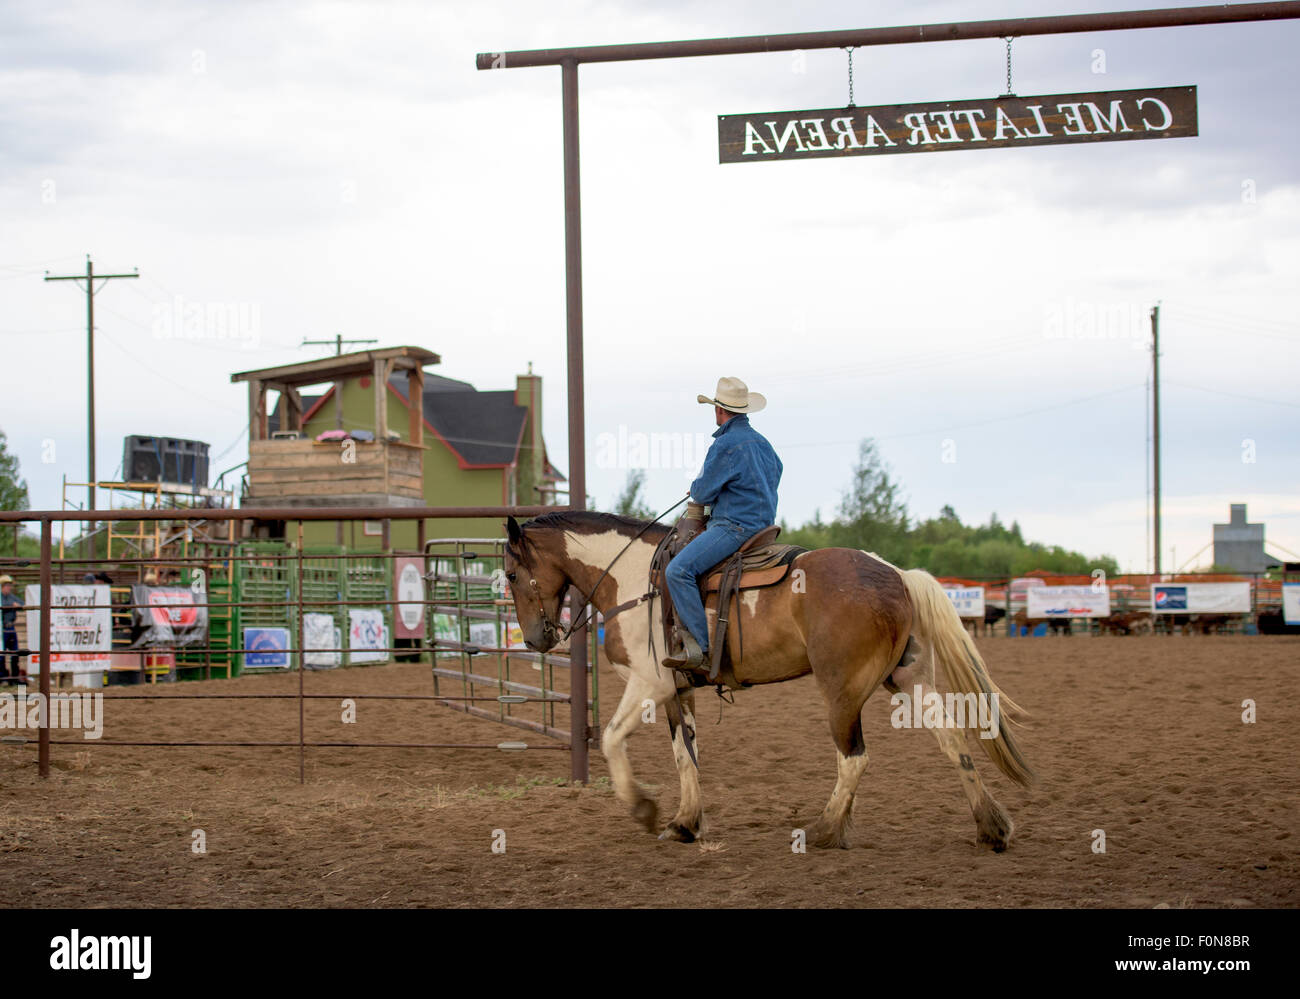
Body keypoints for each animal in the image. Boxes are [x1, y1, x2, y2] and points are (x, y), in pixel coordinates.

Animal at [503, 511, 1035, 850]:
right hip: (909, 680)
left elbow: (613, 739)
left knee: (854, 759)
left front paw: (645, 809)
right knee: (952, 740)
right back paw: (991, 827)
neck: (636, 580)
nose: (533, 638)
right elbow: (685, 756)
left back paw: (824, 831)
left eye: (508, 574)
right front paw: (686, 824)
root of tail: (898, 574)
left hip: (842, 692)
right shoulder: (677, 691)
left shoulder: (647, 686)